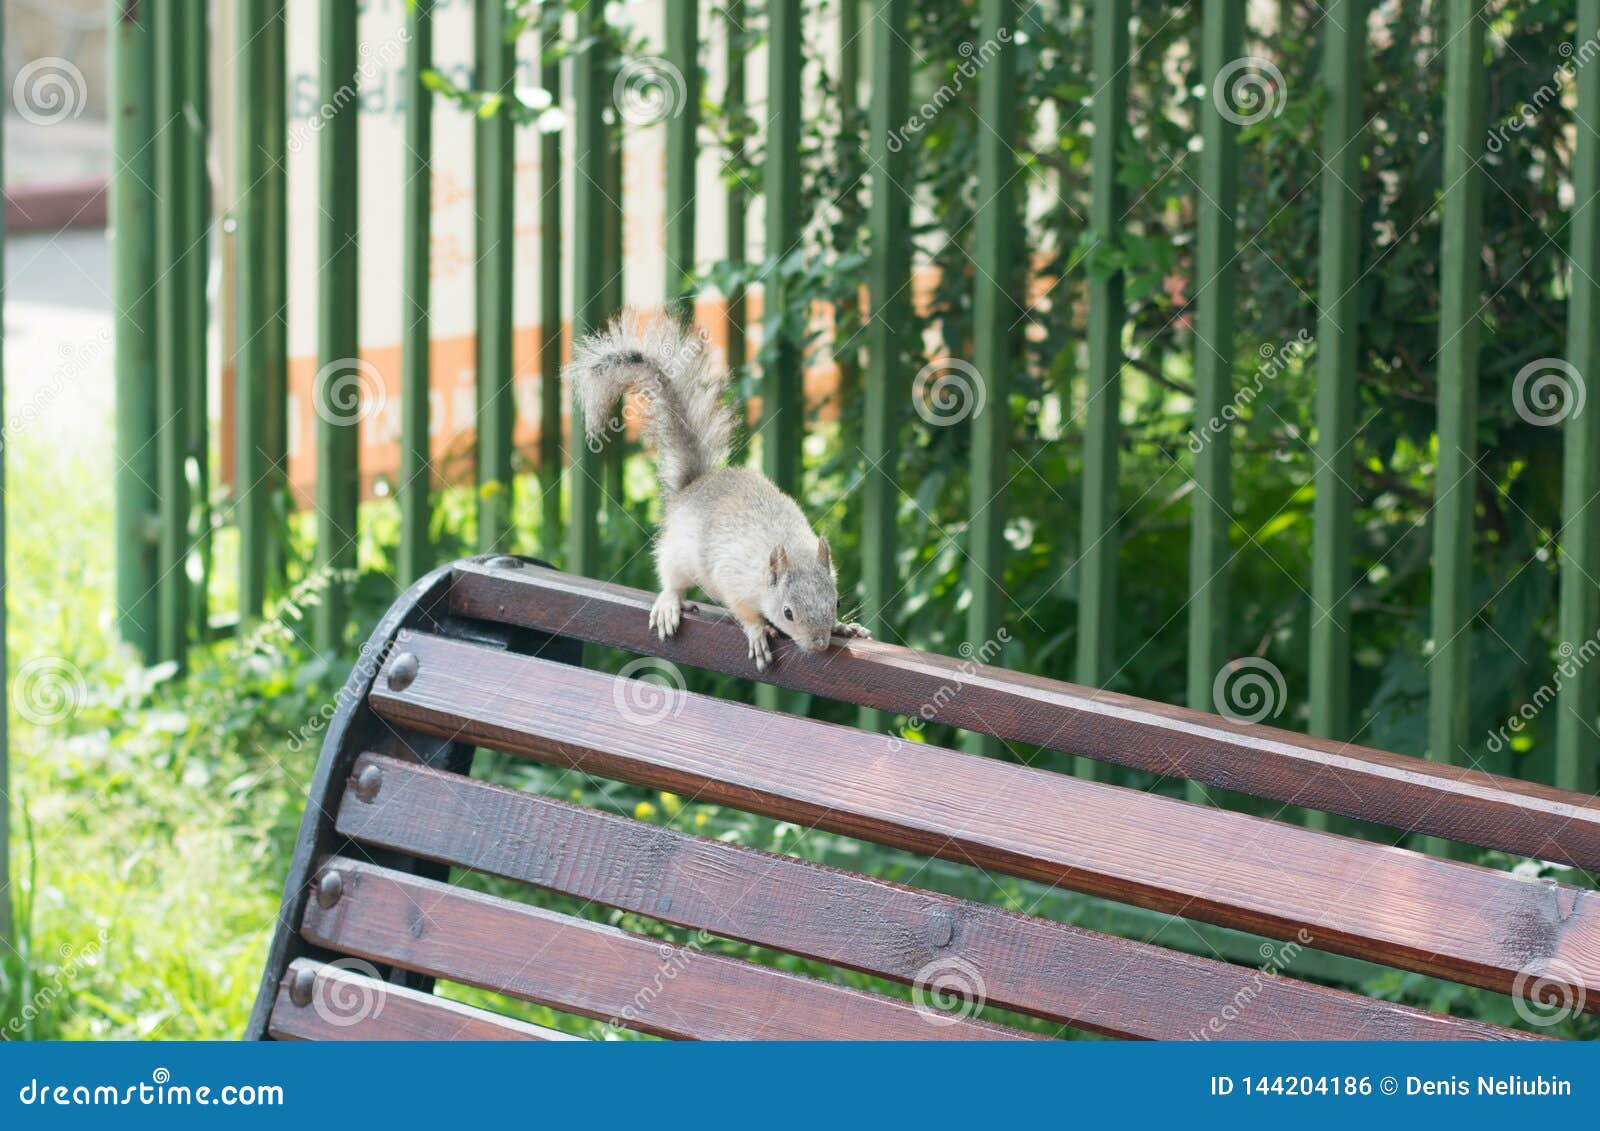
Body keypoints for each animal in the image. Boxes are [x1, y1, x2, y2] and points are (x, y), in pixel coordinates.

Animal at [566, 310, 870, 670]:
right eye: (788, 613)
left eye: (835, 603)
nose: (819, 645)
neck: (787, 552)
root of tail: (692, 487)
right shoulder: (732, 579)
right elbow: (743, 611)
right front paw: (758, 632)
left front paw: (844, 626)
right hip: (677, 555)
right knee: (670, 577)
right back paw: (670, 603)